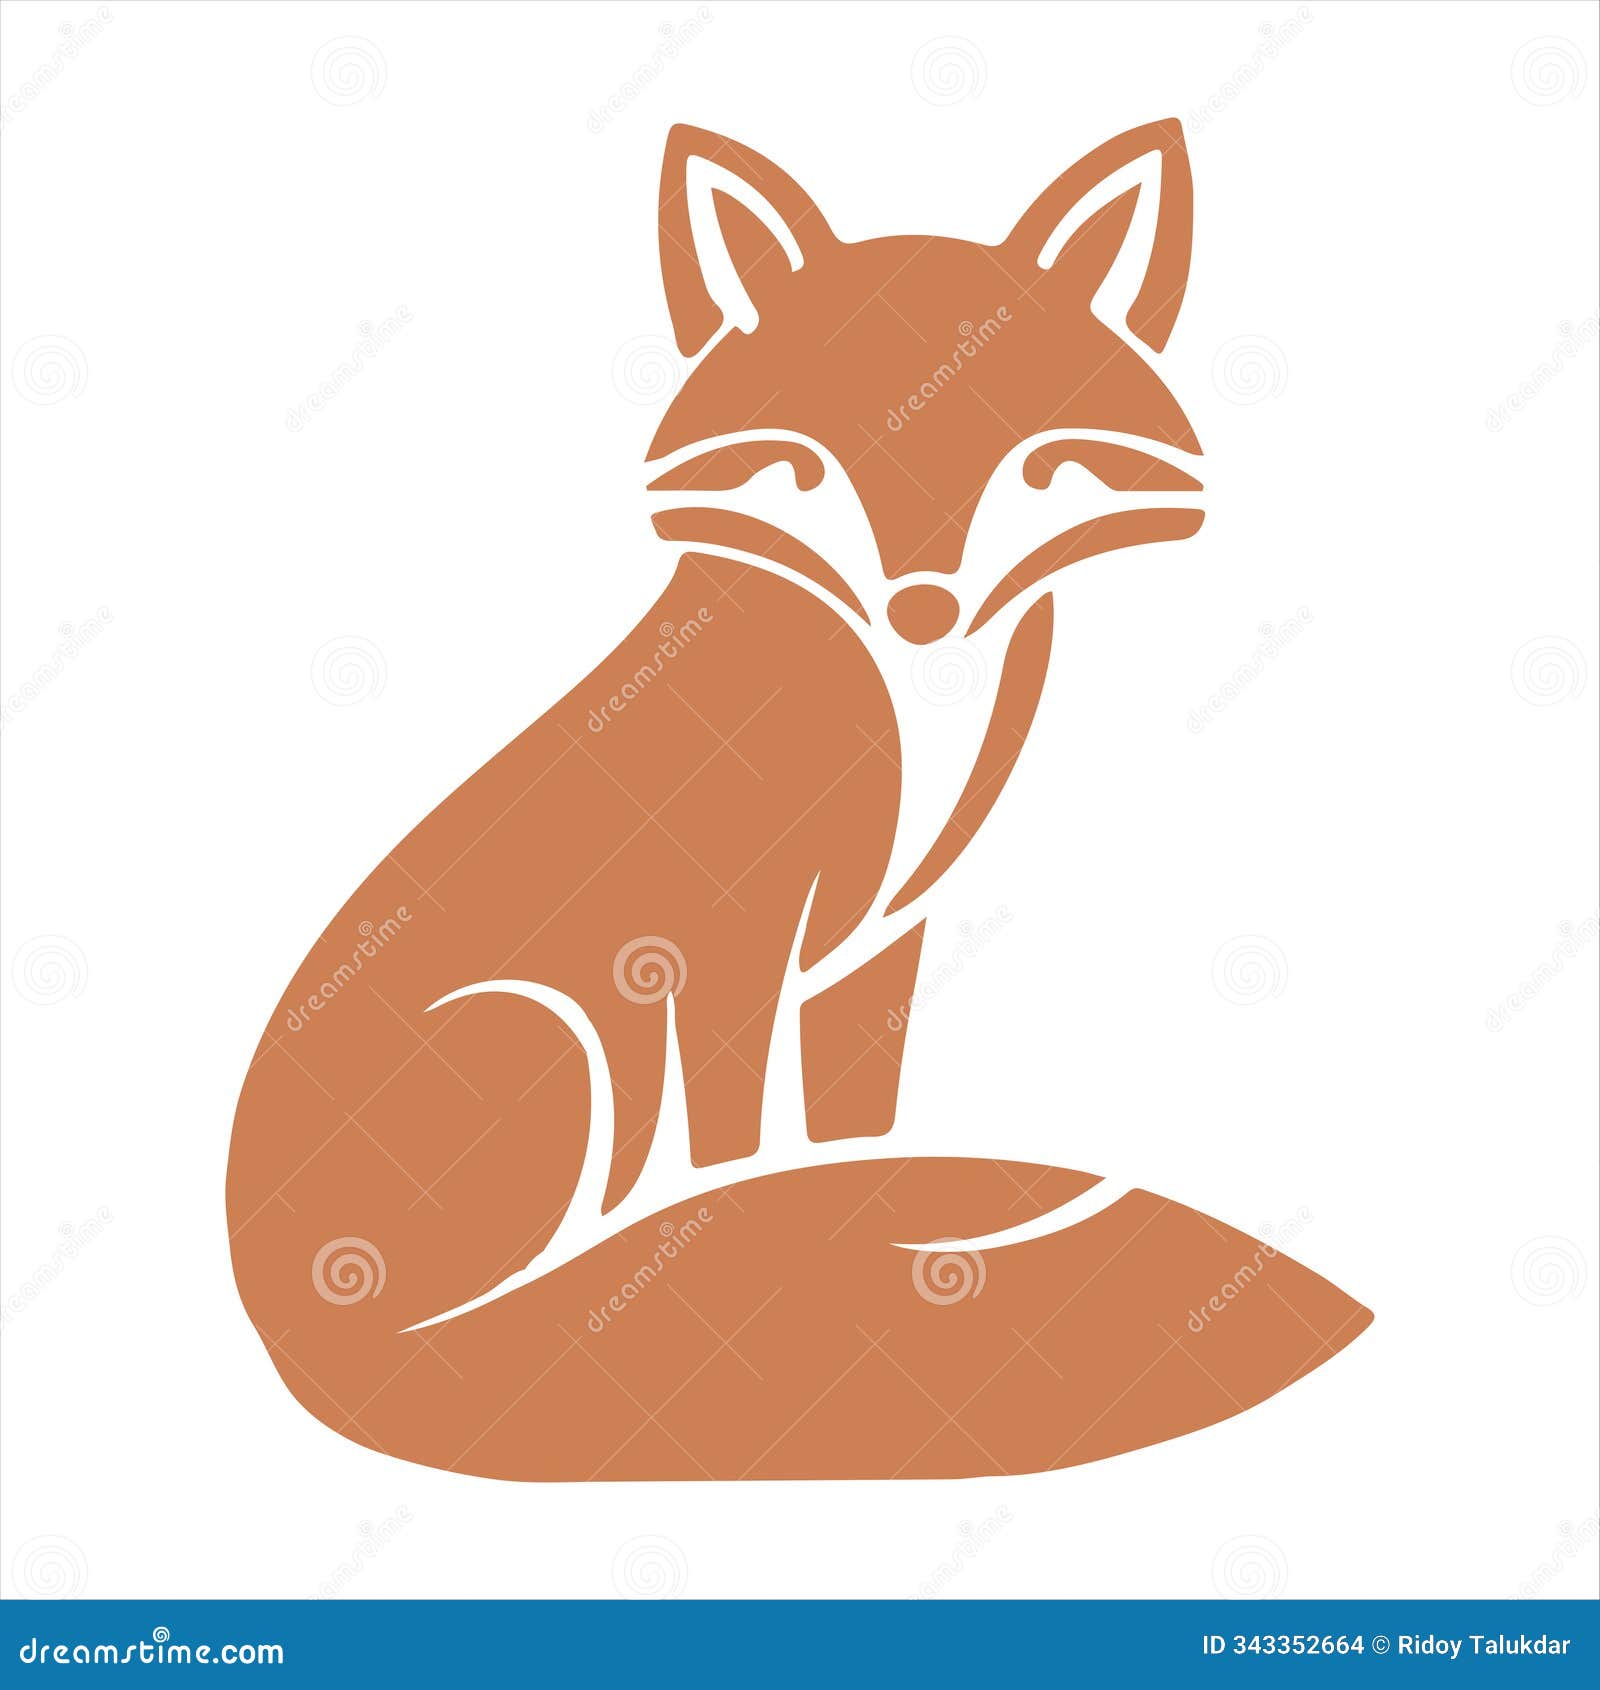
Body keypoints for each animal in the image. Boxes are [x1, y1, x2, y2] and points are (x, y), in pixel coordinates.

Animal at [226, 123, 1367, 1482]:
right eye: (811, 469)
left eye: (1031, 466)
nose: (922, 607)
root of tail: (289, 1328)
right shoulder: (709, 948)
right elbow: (736, 1153)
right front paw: (742, 1232)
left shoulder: (871, 946)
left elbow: (844, 1138)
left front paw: (839, 1210)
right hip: (550, 1044)